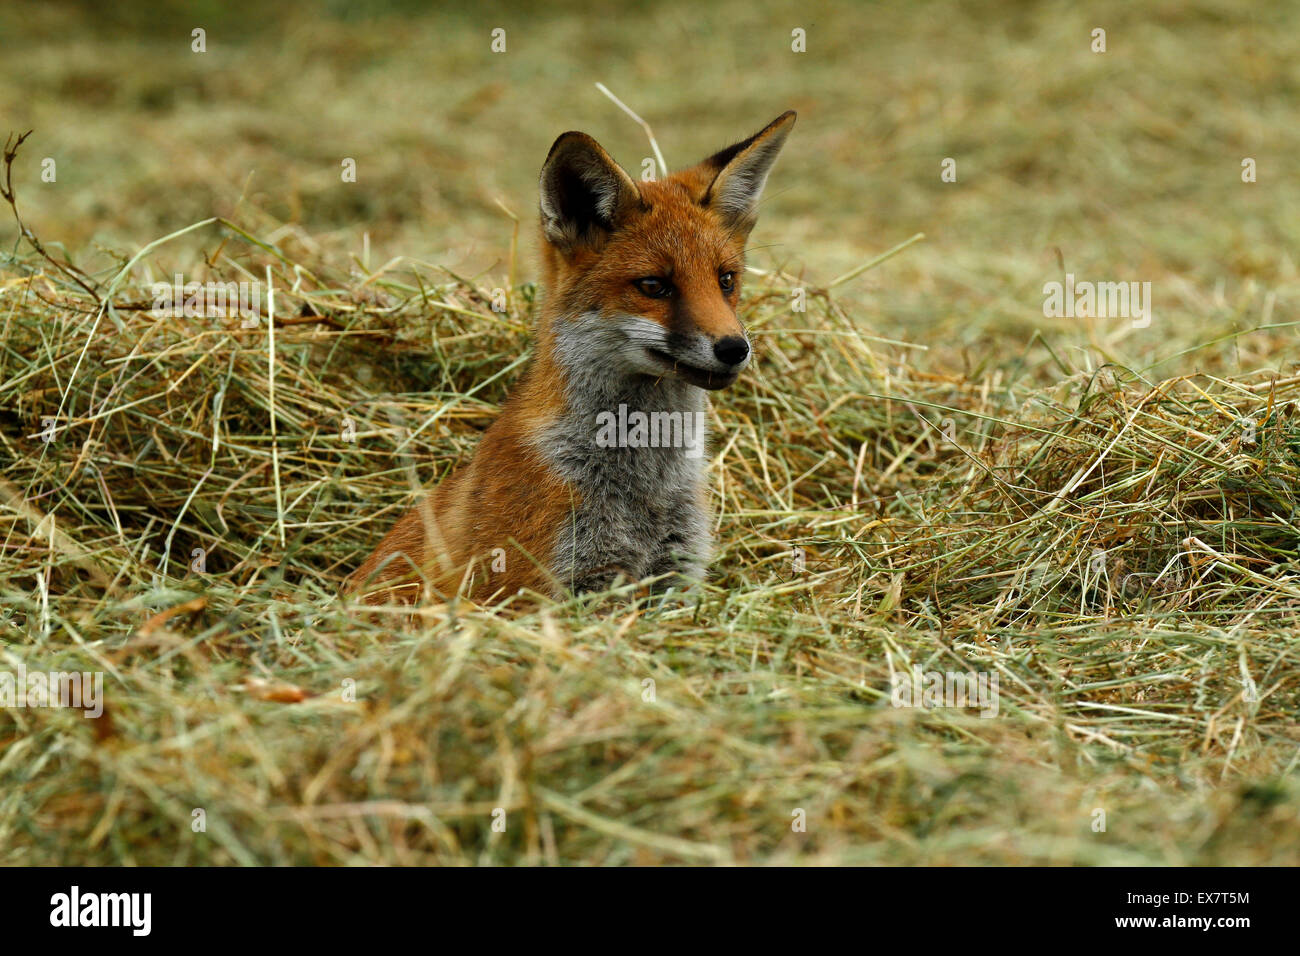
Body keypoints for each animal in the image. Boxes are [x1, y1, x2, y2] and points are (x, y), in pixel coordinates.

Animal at [345, 110, 796, 605]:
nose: (735, 348)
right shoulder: (547, 586)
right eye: (654, 286)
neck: (647, 487)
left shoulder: (675, 576)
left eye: (726, 280)